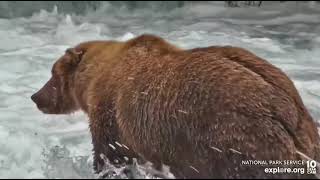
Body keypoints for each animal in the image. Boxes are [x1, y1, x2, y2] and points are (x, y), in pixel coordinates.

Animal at [30, 34, 320, 179]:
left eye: (52, 74)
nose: (35, 96)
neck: (92, 82)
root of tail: (285, 110)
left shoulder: (112, 115)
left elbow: (111, 157)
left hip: (233, 141)